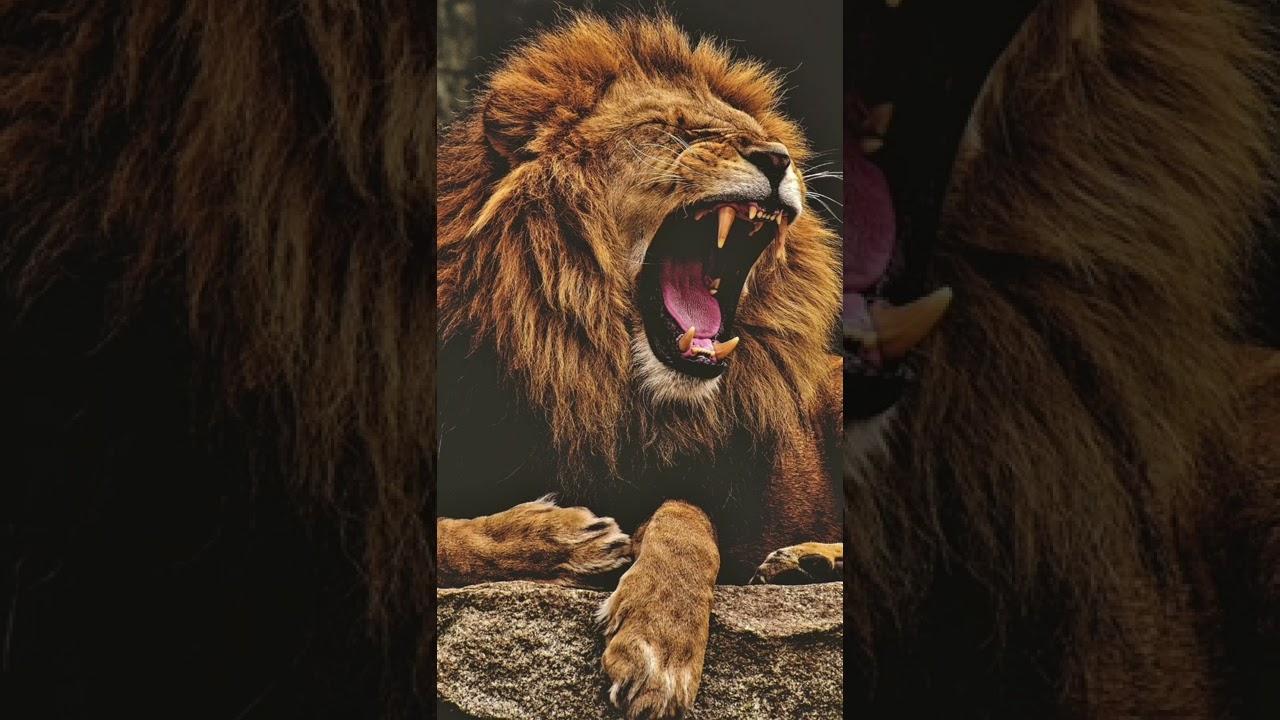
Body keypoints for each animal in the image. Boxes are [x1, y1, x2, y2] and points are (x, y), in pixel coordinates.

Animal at [436, 13, 847, 719]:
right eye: (676, 128)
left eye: (759, 135)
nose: (778, 159)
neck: (594, 375)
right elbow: (449, 537)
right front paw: (561, 539)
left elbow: (685, 516)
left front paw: (658, 645)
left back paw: (807, 560)